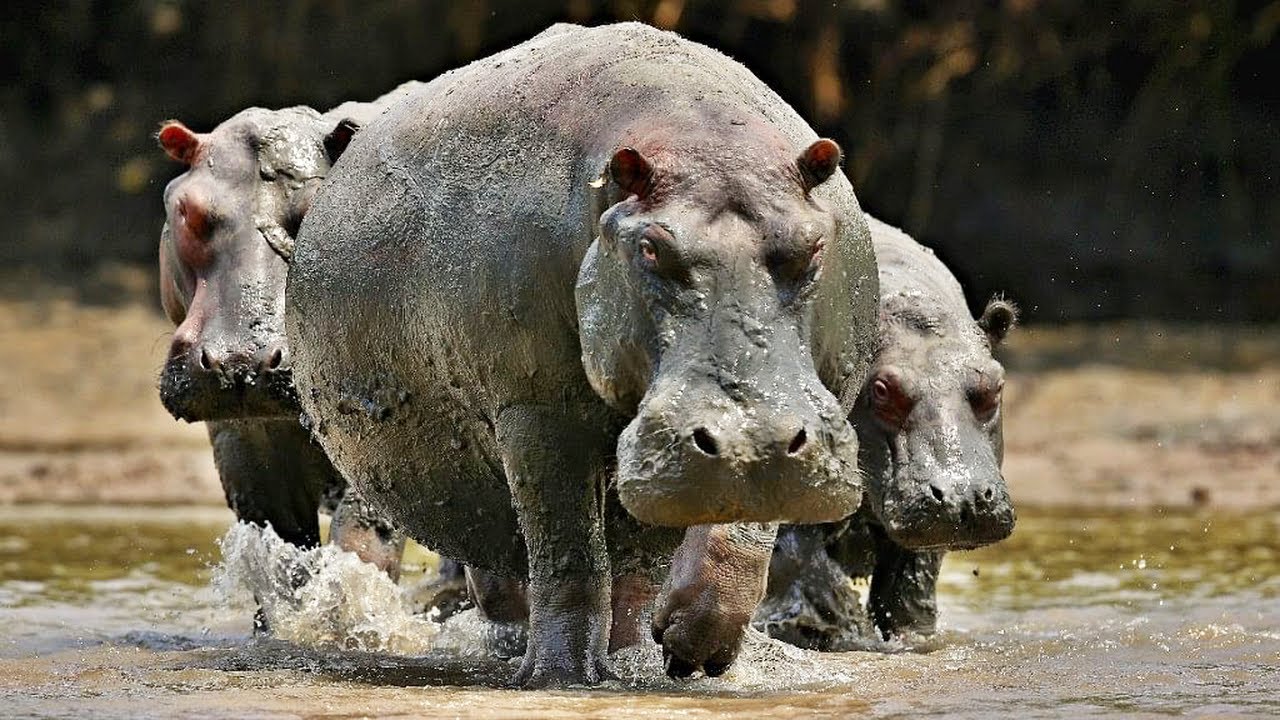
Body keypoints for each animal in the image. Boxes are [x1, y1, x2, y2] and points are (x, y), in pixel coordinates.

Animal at [155, 82, 421, 599]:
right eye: (186, 209)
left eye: (322, 207)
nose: (241, 359)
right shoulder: (249, 451)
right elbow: (280, 563)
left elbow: (362, 548)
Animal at [286, 22, 878, 685]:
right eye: (651, 248)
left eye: (814, 244)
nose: (752, 441)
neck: (704, 139)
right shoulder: (536, 410)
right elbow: (567, 548)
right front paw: (561, 679)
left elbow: (743, 531)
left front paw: (689, 648)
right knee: (528, 561)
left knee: (634, 568)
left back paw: (638, 651)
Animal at [756, 216, 1018, 649]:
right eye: (881, 389)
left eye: (994, 384)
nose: (963, 497)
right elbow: (795, 553)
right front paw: (832, 620)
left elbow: (908, 591)